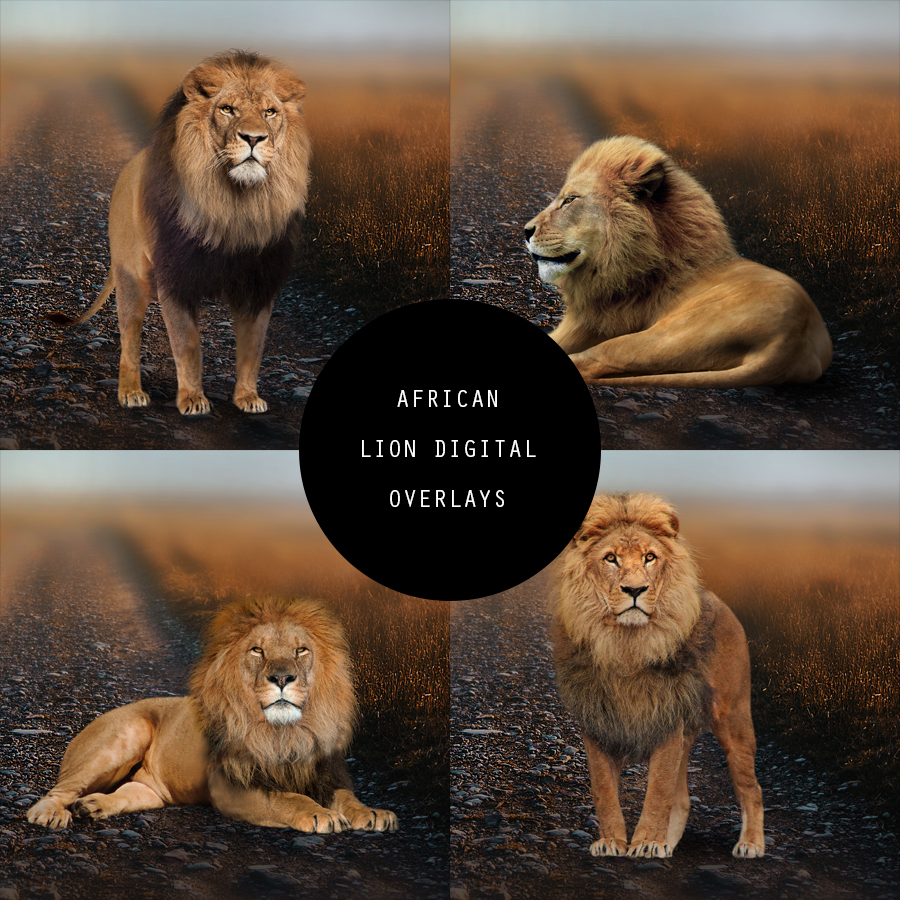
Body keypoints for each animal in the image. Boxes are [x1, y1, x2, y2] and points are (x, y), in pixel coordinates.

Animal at [27, 597, 398, 835]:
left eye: (301, 650)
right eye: (257, 650)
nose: (281, 678)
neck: (286, 732)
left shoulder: (326, 773)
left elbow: (347, 797)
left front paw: (372, 813)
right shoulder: (231, 786)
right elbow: (286, 798)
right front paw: (320, 814)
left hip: (149, 790)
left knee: (127, 792)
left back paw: (91, 806)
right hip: (122, 737)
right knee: (59, 789)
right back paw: (49, 814)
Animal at [46, 50, 311, 415]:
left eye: (269, 112)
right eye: (227, 109)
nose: (254, 138)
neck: (235, 205)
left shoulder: (258, 284)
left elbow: (253, 347)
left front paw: (247, 398)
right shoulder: (176, 278)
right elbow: (187, 344)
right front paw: (193, 400)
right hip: (131, 277)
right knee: (129, 337)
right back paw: (131, 393)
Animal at [550, 492, 765, 859]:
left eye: (649, 558)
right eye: (611, 559)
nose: (635, 590)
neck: (626, 646)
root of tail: (718, 599)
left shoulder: (668, 719)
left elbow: (658, 791)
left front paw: (647, 841)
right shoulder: (596, 723)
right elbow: (603, 790)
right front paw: (613, 841)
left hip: (733, 718)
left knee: (752, 788)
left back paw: (750, 844)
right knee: (683, 799)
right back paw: (669, 844)